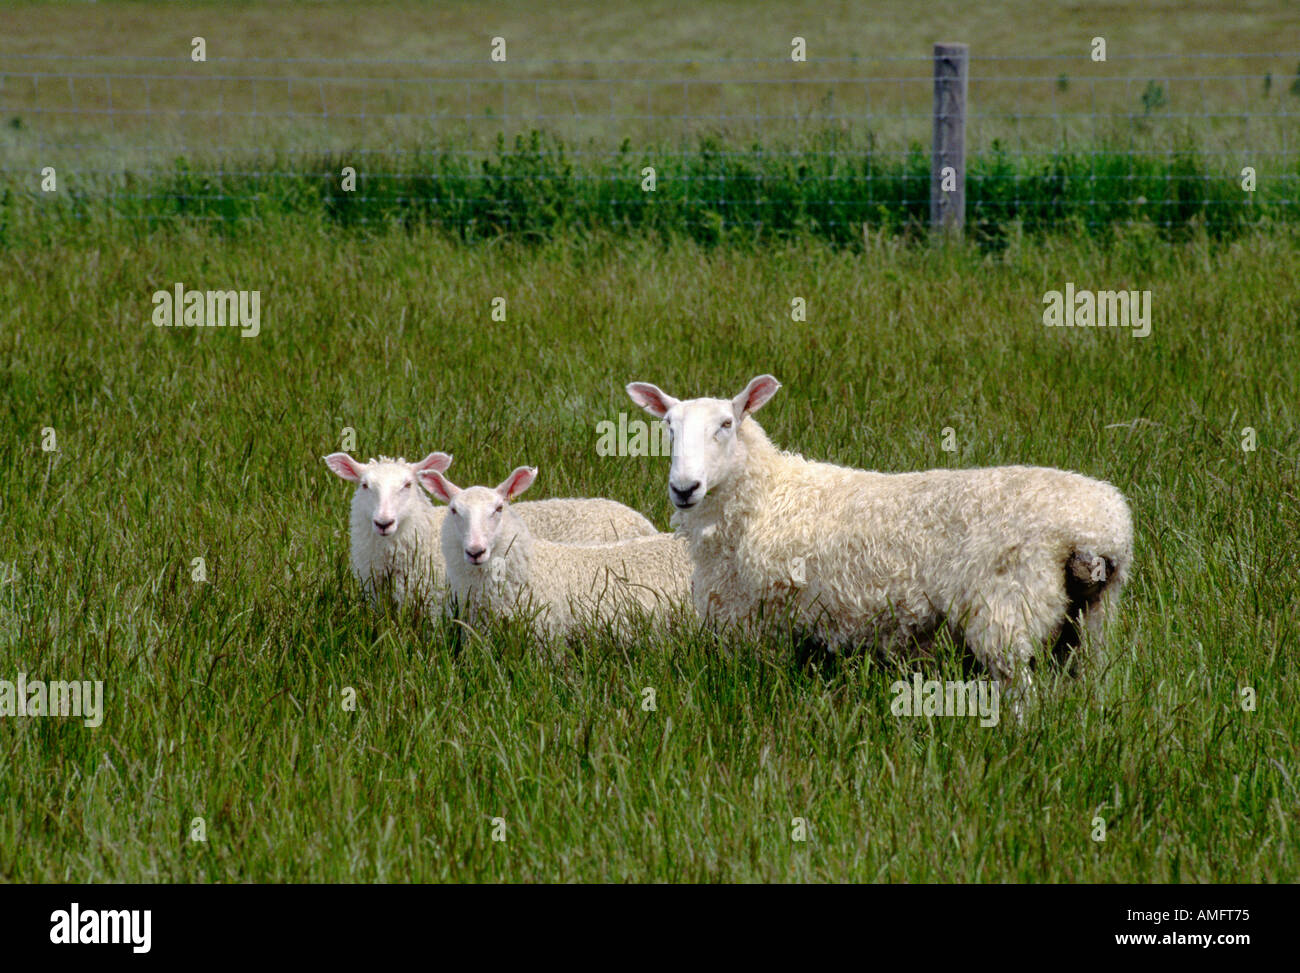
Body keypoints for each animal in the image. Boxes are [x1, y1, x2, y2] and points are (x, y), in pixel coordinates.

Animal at [625, 374, 1133, 701]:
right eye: (668, 427)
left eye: (726, 425)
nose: (684, 488)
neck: (766, 497)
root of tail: (1100, 523)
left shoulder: (756, 620)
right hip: (1090, 617)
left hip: (1007, 607)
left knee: (1021, 692)